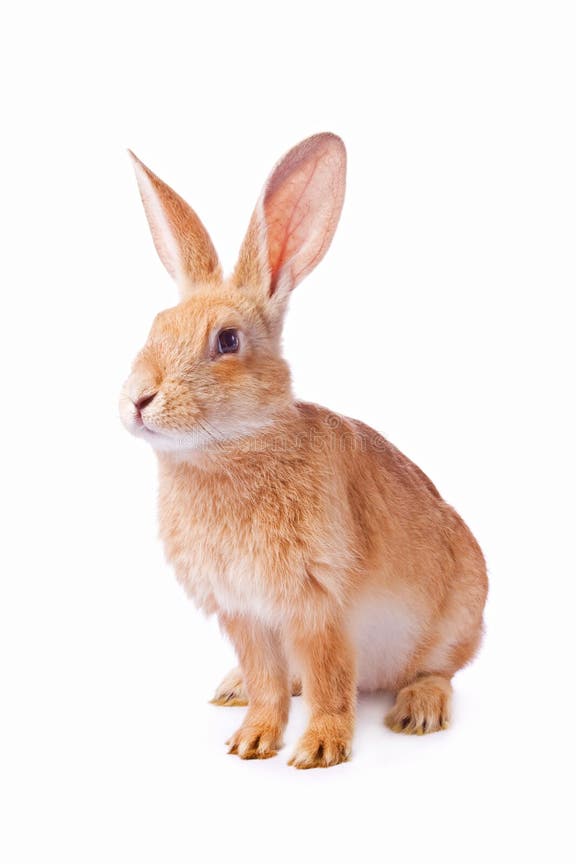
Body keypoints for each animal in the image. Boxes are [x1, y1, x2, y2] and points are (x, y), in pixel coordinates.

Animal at [119, 133, 488, 769]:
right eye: (156, 325)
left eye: (228, 340)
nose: (139, 399)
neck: (231, 451)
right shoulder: (243, 612)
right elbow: (268, 681)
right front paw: (252, 740)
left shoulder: (317, 605)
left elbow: (328, 680)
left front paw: (318, 749)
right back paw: (232, 689)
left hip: (456, 615)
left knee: (438, 670)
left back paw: (418, 710)